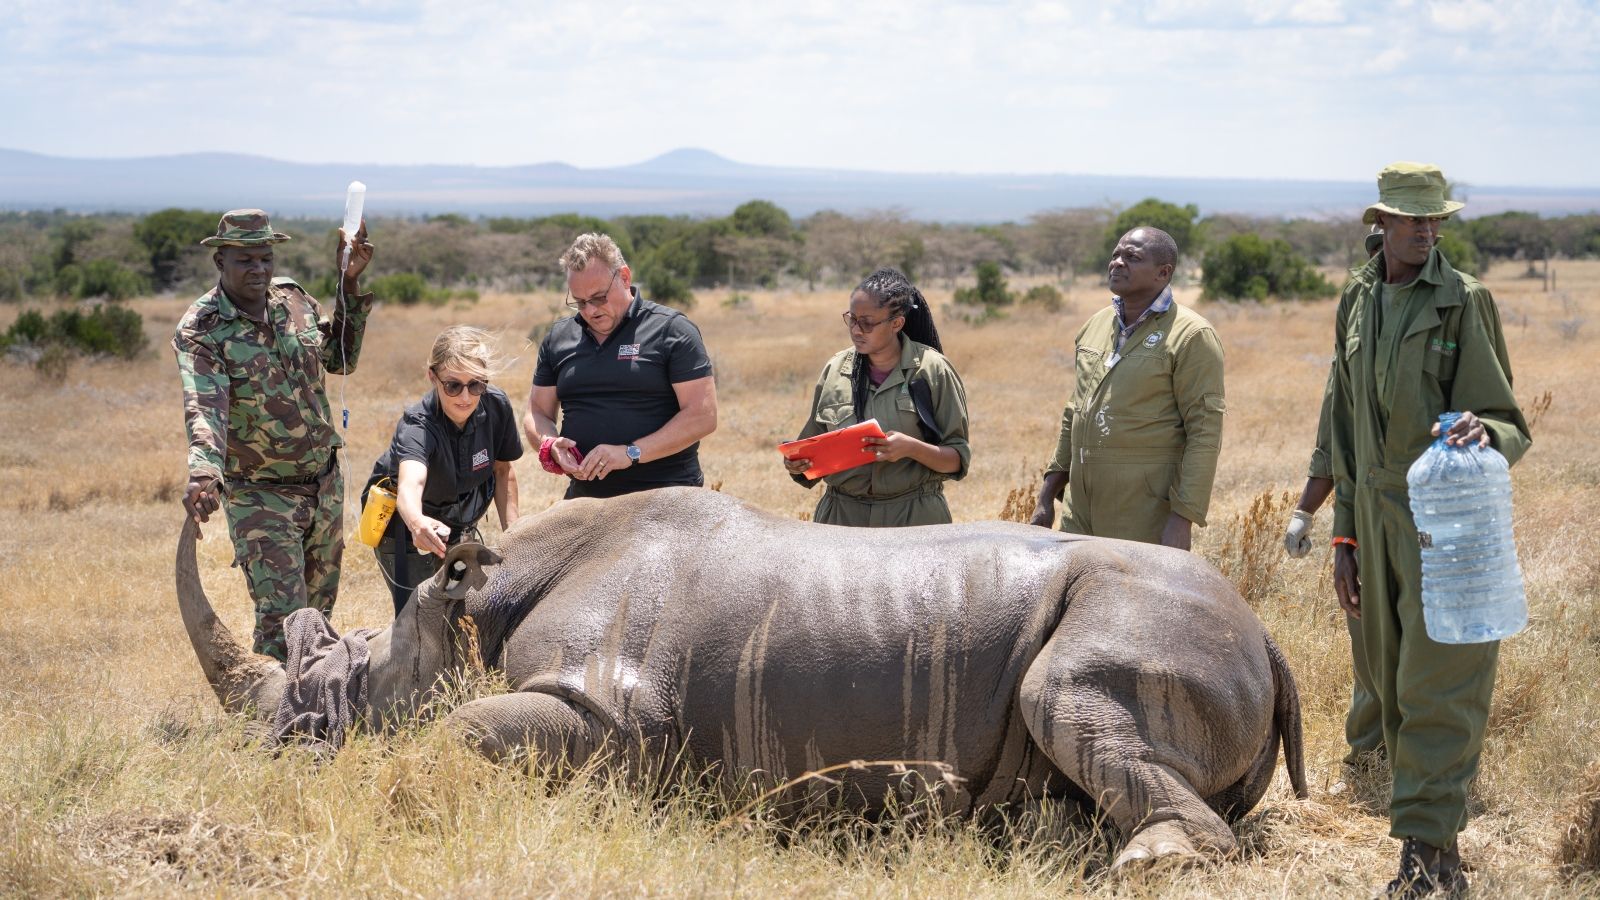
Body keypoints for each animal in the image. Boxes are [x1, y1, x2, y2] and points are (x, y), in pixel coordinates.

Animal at [178, 487, 1305, 868]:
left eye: (340, 691)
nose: (272, 756)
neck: (472, 607)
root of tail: (1267, 639)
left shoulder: (612, 713)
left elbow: (460, 732)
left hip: (1154, 623)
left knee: (1066, 693)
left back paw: (1143, 863)